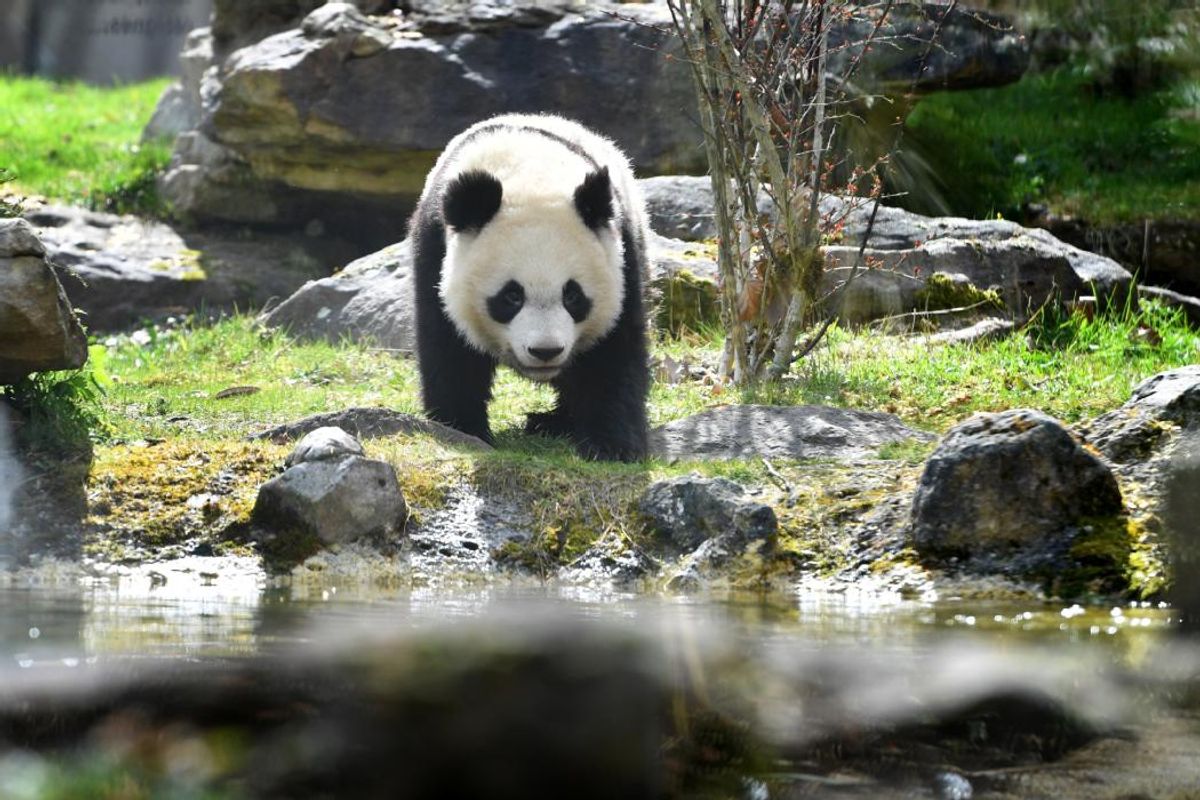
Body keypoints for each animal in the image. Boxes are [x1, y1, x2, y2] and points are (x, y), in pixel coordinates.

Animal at [408, 114, 650, 462]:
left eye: (572, 295)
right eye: (511, 296)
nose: (546, 351)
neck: (530, 168)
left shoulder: (622, 255)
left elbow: (612, 354)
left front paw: (612, 447)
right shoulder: (434, 247)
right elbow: (449, 348)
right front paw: (461, 428)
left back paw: (553, 422)